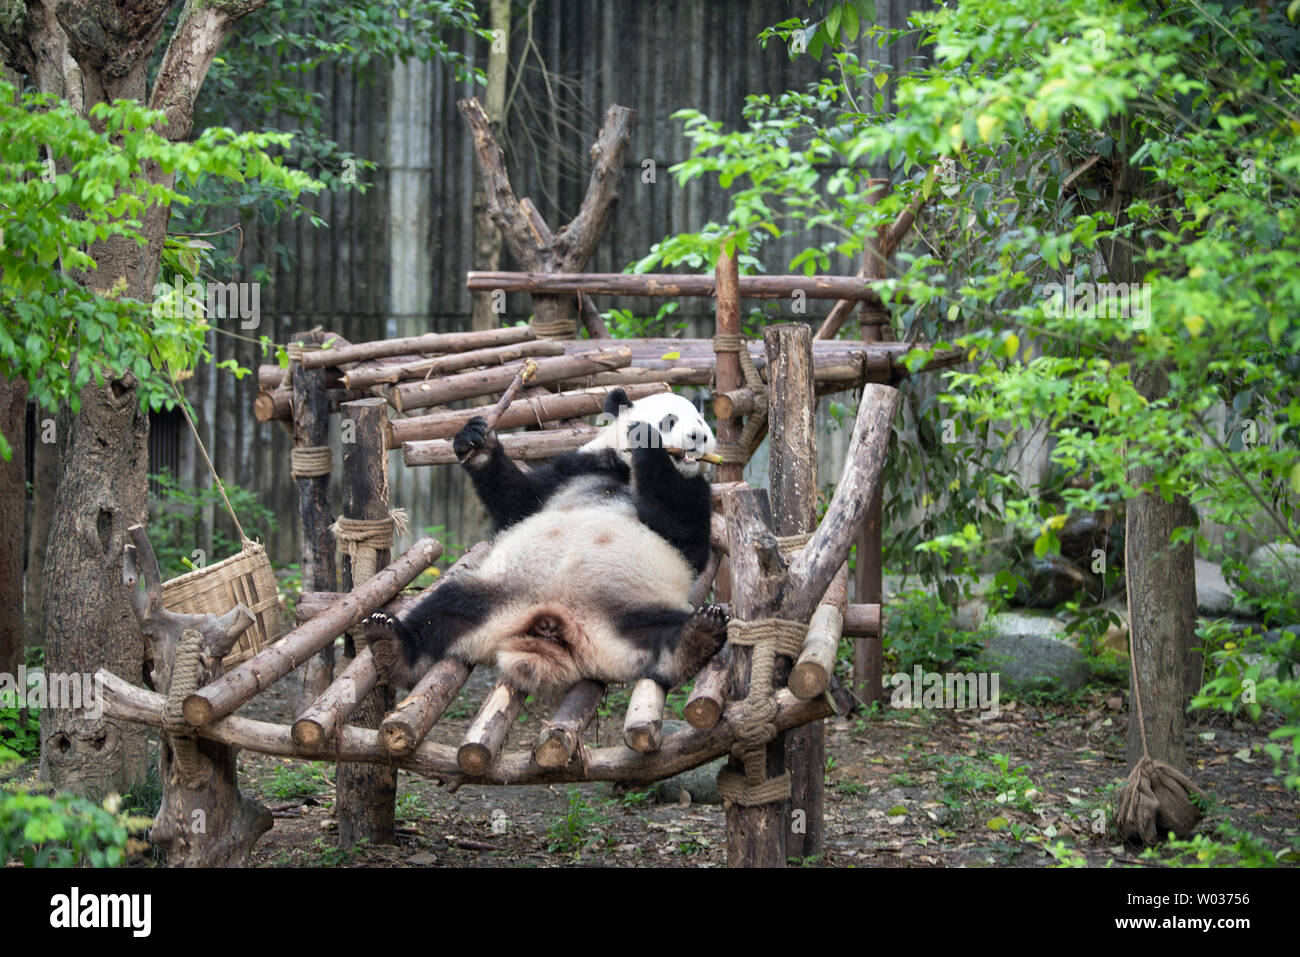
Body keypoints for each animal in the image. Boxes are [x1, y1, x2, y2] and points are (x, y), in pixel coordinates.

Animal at [364, 387, 729, 694]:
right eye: (671, 420)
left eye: (700, 421)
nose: (699, 437)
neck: (624, 470)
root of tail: (554, 622)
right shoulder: (574, 468)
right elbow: (519, 503)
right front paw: (477, 444)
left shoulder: (696, 494)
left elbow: (684, 537)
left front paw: (650, 448)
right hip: (498, 594)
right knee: (445, 608)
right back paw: (393, 644)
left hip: (632, 608)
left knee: (660, 634)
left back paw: (694, 638)